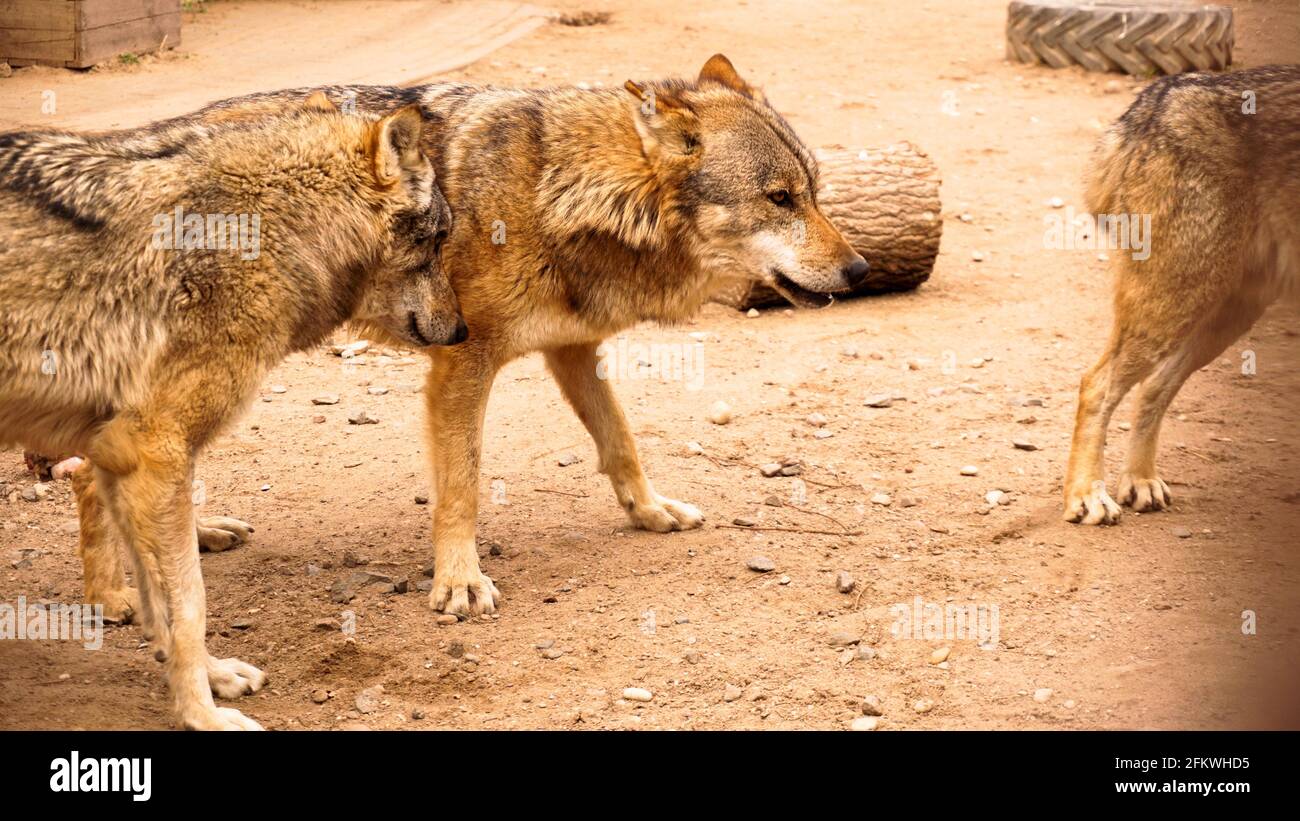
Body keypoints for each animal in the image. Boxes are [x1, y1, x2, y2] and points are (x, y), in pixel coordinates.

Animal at [0, 94, 465, 729]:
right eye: (438, 241)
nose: (463, 330)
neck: (280, 227)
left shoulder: (120, 457)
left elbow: (164, 606)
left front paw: (213, 678)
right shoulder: (154, 454)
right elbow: (190, 605)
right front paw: (203, 715)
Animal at [1064, 65, 1300, 525]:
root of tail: (1157, 97)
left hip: (1224, 314)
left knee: (1153, 386)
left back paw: (1139, 481)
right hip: (1176, 303)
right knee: (1096, 384)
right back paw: (1087, 496)